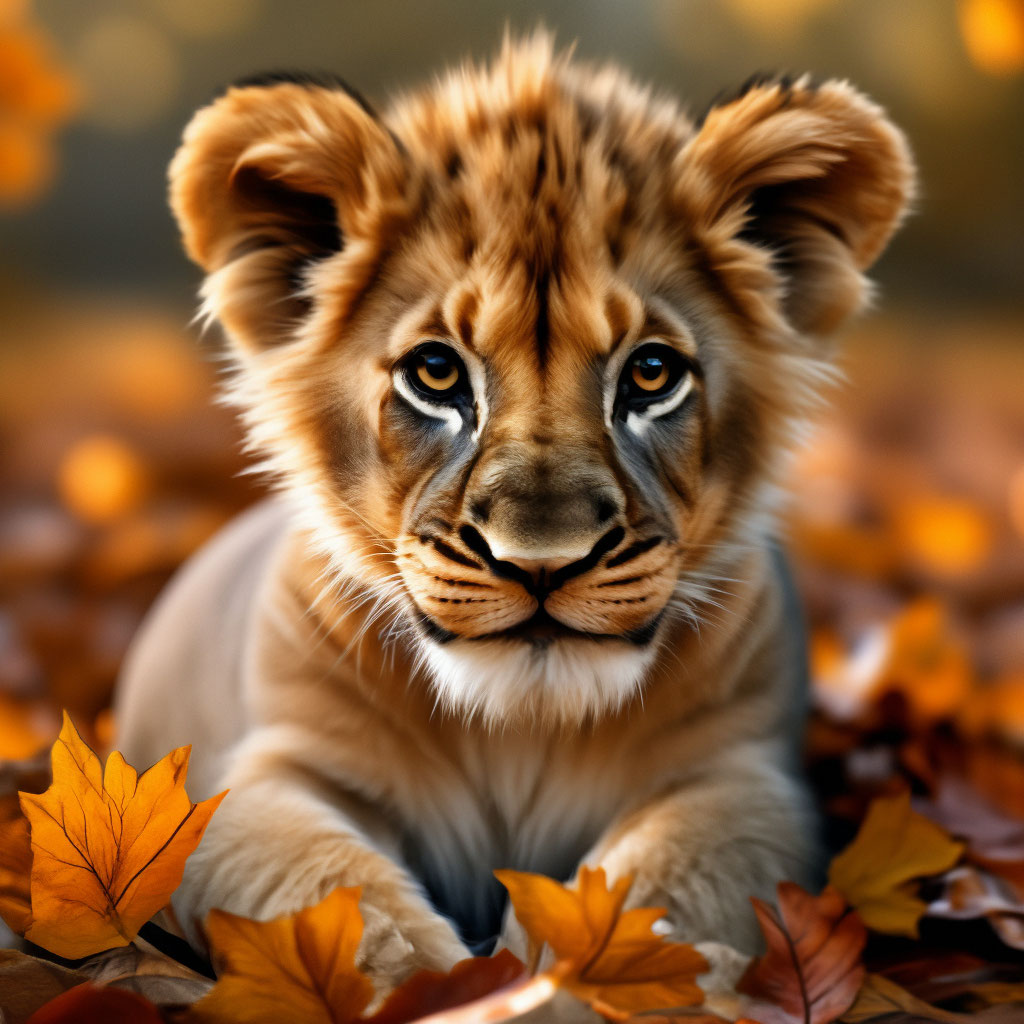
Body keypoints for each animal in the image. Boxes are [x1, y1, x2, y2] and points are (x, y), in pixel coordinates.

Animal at [114, 32, 914, 995]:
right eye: (435, 373)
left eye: (651, 373)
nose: (541, 562)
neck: (519, 729)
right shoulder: (253, 784)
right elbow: (338, 899)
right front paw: (452, 990)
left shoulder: (745, 781)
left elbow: (659, 889)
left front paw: (566, 978)